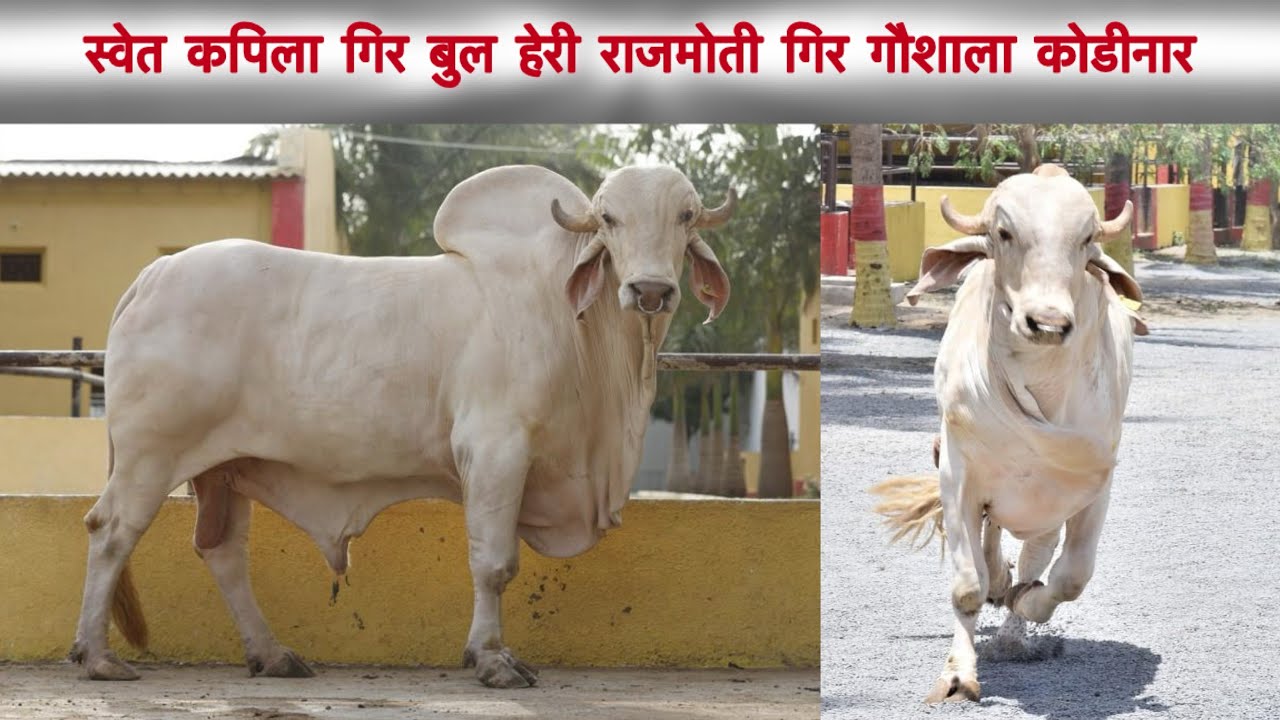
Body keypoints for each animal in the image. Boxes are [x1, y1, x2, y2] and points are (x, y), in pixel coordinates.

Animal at [69, 164, 734, 688]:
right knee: (111, 532)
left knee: (223, 552)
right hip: (150, 456)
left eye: (685, 216)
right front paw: (491, 660)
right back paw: (97, 656)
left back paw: (272, 653)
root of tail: (148, 280)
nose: (649, 290)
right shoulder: (495, 449)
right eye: (609, 218)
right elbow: (495, 564)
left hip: (222, 470)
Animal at [871, 165, 1147, 703]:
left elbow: (1069, 578)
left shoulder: (1091, 484)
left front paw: (1023, 607)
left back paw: (1014, 616)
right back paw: (999, 580)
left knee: (1035, 555)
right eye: (1004, 233)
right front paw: (959, 675)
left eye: (1086, 240)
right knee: (990, 543)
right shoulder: (959, 476)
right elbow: (967, 586)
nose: (1048, 322)